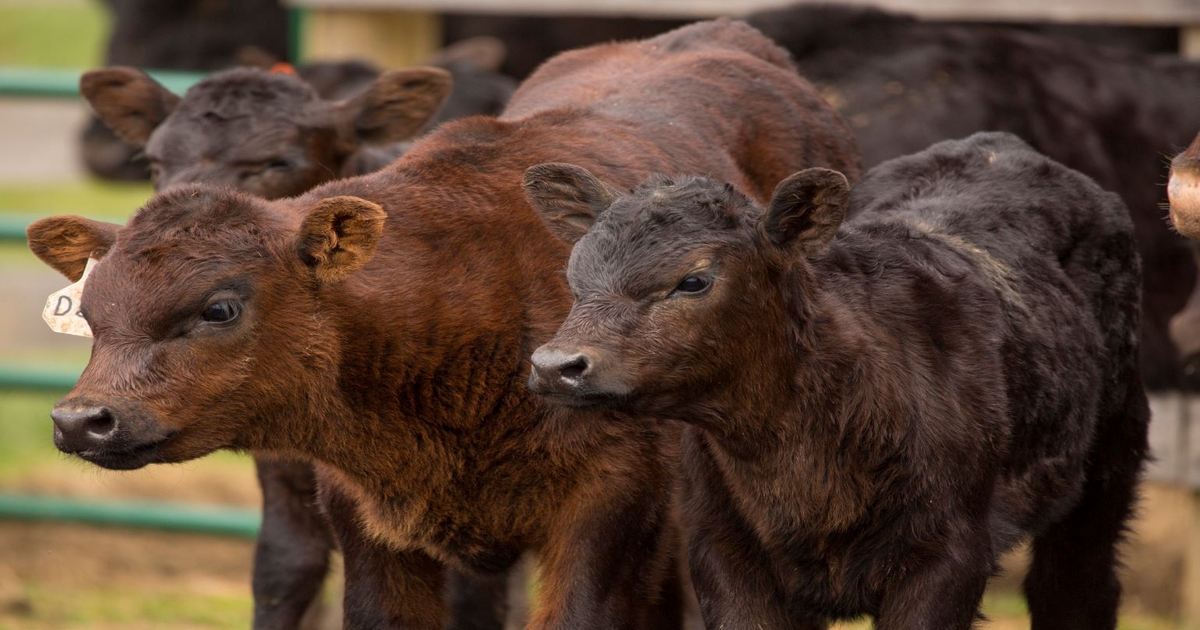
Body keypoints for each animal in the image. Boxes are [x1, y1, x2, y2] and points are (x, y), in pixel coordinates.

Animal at [527, 132, 1147, 629]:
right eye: (574, 272)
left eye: (694, 280)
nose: (556, 365)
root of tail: (999, 145)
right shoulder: (722, 550)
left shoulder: (951, 554)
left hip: (1107, 468)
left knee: (1073, 589)